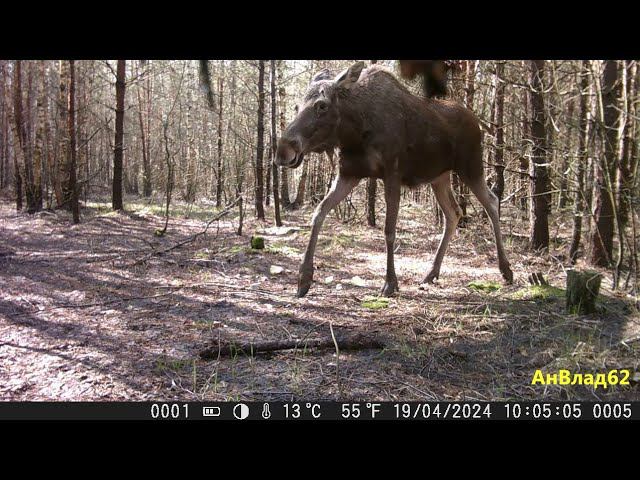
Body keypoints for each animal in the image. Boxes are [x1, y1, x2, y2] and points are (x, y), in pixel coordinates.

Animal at [274, 60, 513, 298]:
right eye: (296, 106)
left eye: (322, 105)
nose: (282, 150)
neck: (354, 130)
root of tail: (478, 122)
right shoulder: (349, 174)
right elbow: (318, 214)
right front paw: (304, 278)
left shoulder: (392, 173)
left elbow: (389, 229)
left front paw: (390, 282)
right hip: (439, 177)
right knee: (453, 213)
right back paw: (431, 273)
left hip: (471, 167)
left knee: (491, 201)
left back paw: (506, 270)